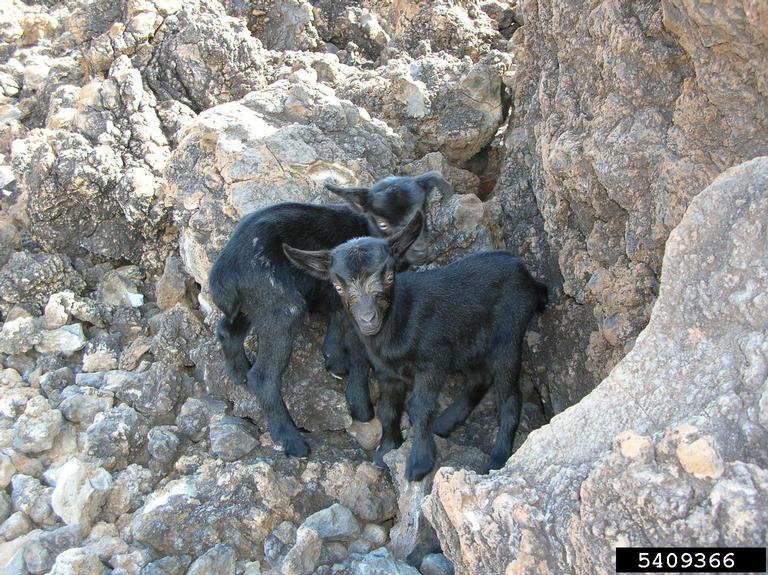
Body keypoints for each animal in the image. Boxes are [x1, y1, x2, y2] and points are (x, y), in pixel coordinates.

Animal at [208, 173, 453, 457]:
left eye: (421, 211)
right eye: (382, 222)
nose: (420, 251)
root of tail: (225, 271)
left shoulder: (338, 302)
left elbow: (337, 329)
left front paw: (334, 359)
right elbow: (359, 356)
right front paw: (361, 406)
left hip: (253, 302)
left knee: (227, 331)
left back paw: (238, 373)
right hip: (281, 305)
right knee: (264, 376)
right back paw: (291, 439)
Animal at [284, 212, 547, 480]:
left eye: (389, 276)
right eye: (338, 286)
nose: (368, 319)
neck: (400, 320)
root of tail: (526, 274)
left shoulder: (433, 361)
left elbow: (420, 407)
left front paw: (419, 463)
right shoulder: (387, 371)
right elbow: (388, 410)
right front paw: (386, 451)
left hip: (508, 334)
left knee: (509, 398)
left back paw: (498, 457)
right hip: (469, 340)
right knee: (479, 377)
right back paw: (445, 423)